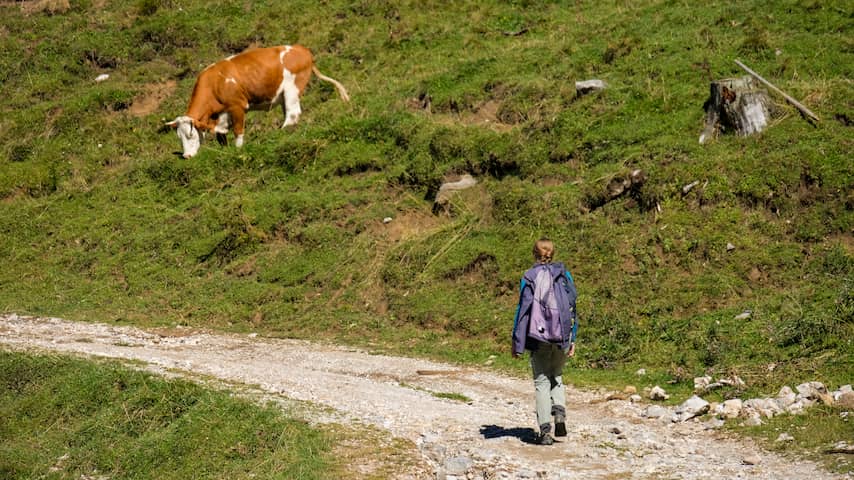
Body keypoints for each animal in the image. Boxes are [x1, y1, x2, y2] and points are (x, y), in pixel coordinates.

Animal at [166, 45, 349, 158]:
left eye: (190, 135)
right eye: (179, 137)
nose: (186, 156)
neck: (214, 84)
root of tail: (301, 49)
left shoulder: (237, 106)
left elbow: (238, 131)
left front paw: (238, 150)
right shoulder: (222, 113)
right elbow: (221, 135)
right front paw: (225, 150)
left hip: (292, 88)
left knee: (293, 113)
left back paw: (279, 134)